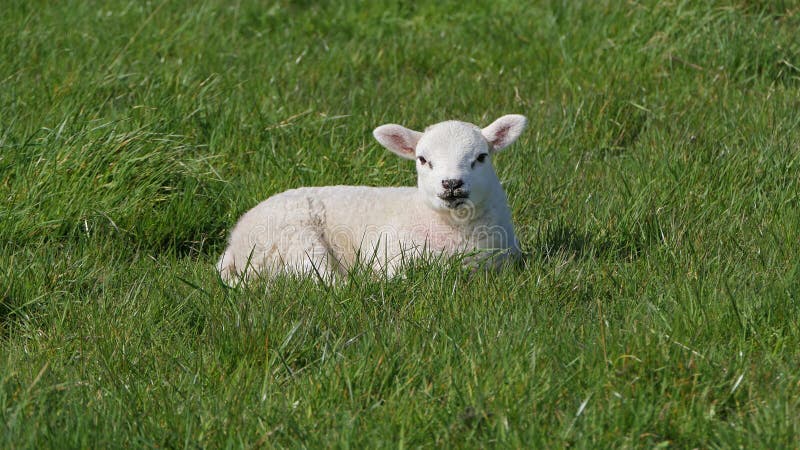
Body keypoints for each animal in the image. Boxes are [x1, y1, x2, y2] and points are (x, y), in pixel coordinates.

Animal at [217, 114, 528, 285]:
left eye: (481, 157)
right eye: (422, 159)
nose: (451, 184)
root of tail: (234, 244)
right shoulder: (388, 255)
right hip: (293, 240)